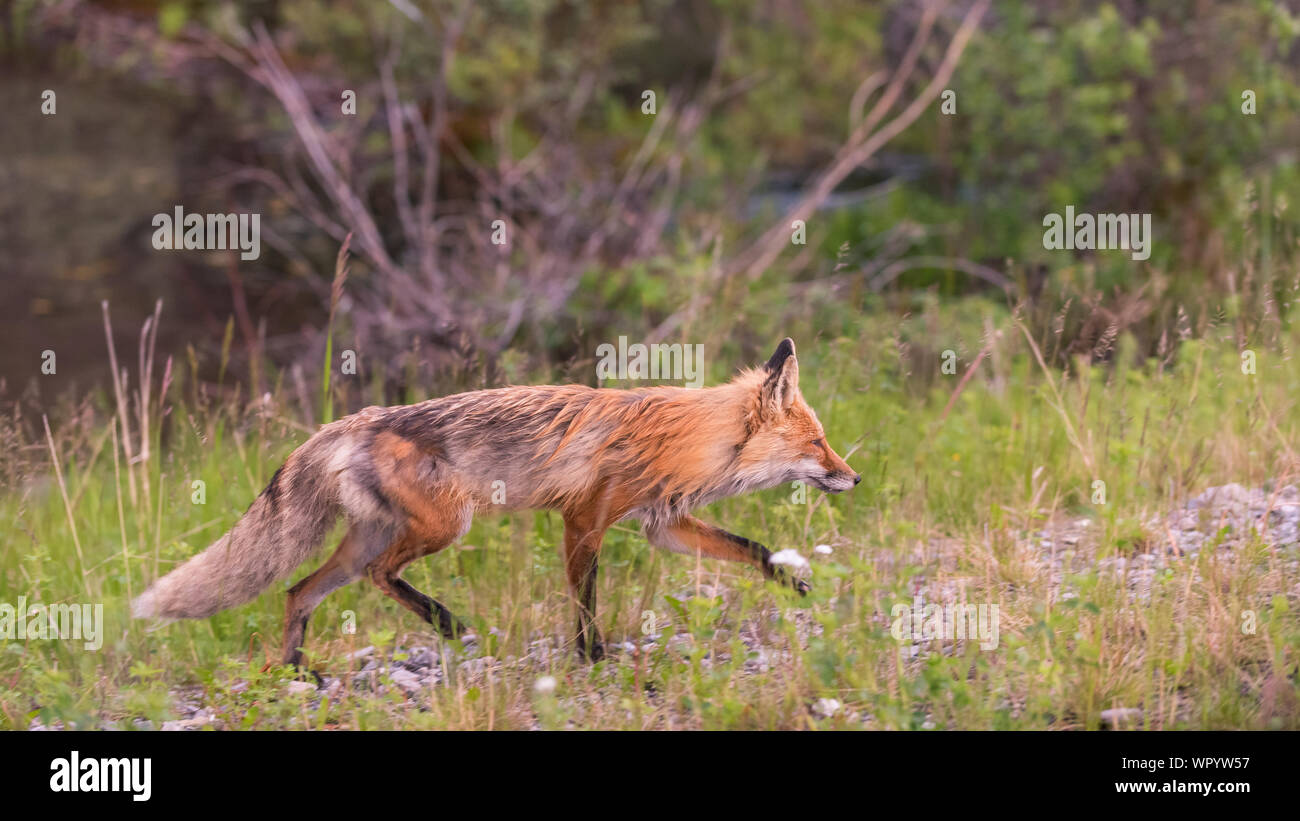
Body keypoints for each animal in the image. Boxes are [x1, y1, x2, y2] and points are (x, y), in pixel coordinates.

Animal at [131, 338, 859, 665]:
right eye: (819, 443)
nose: (853, 478)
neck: (685, 436)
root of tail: (352, 420)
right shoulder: (584, 518)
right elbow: (584, 598)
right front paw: (592, 657)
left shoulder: (664, 524)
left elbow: (752, 548)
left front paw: (793, 583)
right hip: (443, 526)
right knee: (377, 577)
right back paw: (446, 623)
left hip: (369, 540)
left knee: (297, 591)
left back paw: (295, 673)